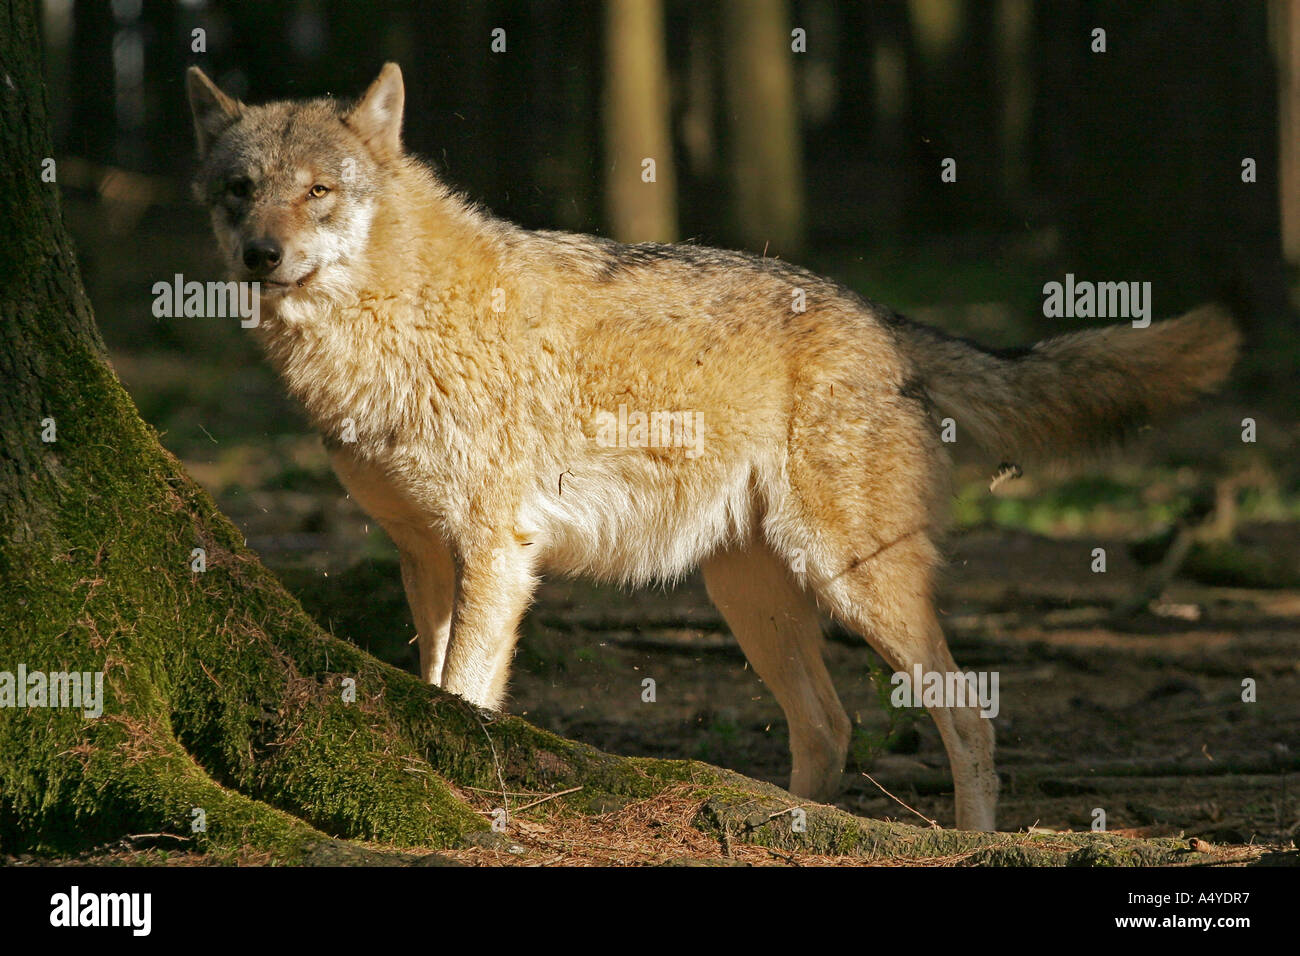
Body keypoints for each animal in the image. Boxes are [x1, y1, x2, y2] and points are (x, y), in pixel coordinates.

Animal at [187, 63, 1239, 830]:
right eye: (240, 191)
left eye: (319, 191)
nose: (260, 255)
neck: (389, 319)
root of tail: (887, 323)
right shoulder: (424, 558)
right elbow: (433, 686)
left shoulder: (496, 553)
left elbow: (469, 693)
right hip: (752, 596)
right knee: (830, 728)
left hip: (851, 582)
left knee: (968, 715)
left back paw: (970, 843)